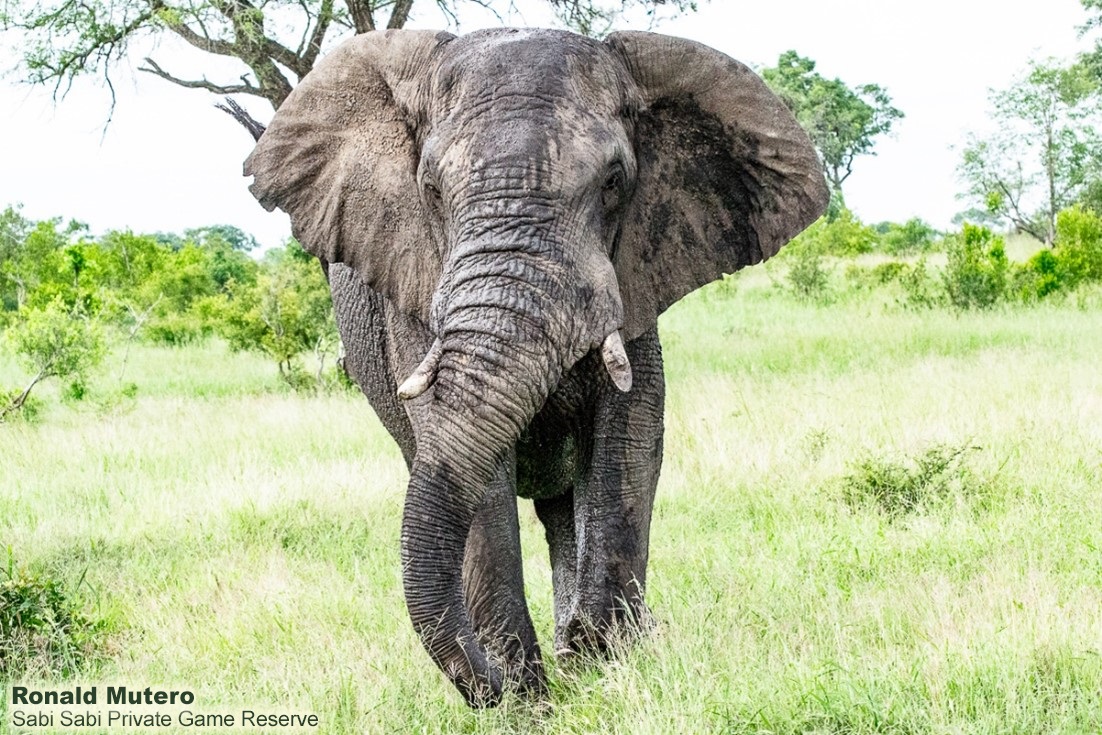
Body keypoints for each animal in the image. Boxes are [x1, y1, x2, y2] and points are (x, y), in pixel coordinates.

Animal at [243, 27, 828, 706]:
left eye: (614, 181)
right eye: (431, 190)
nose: (487, 683)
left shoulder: (636, 274)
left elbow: (629, 441)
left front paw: (606, 664)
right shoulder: (412, 296)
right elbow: (472, 472)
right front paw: (528, 699)